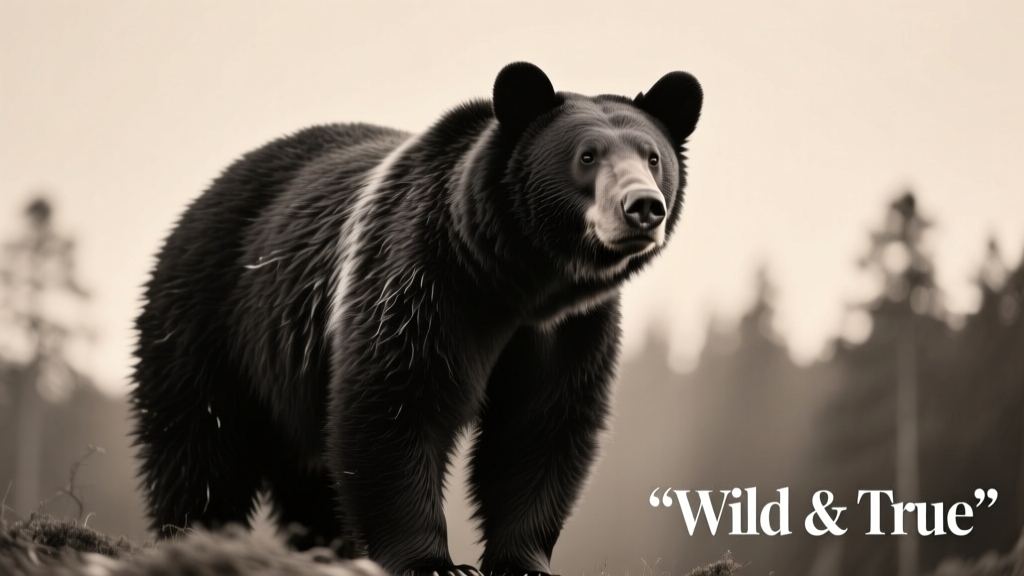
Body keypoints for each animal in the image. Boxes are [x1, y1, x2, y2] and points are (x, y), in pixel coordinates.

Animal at [131, 62, 702, 576]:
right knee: (201, 442)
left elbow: (540, 428)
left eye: (653, 157)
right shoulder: (422, 285)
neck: (517, 280)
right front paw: (434, 563)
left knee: (308, 474)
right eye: (586, 155)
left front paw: (523, 561)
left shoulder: (570, 330)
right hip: (212, 317)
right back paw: (198, 536)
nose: (643, 206)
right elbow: (397, 405)